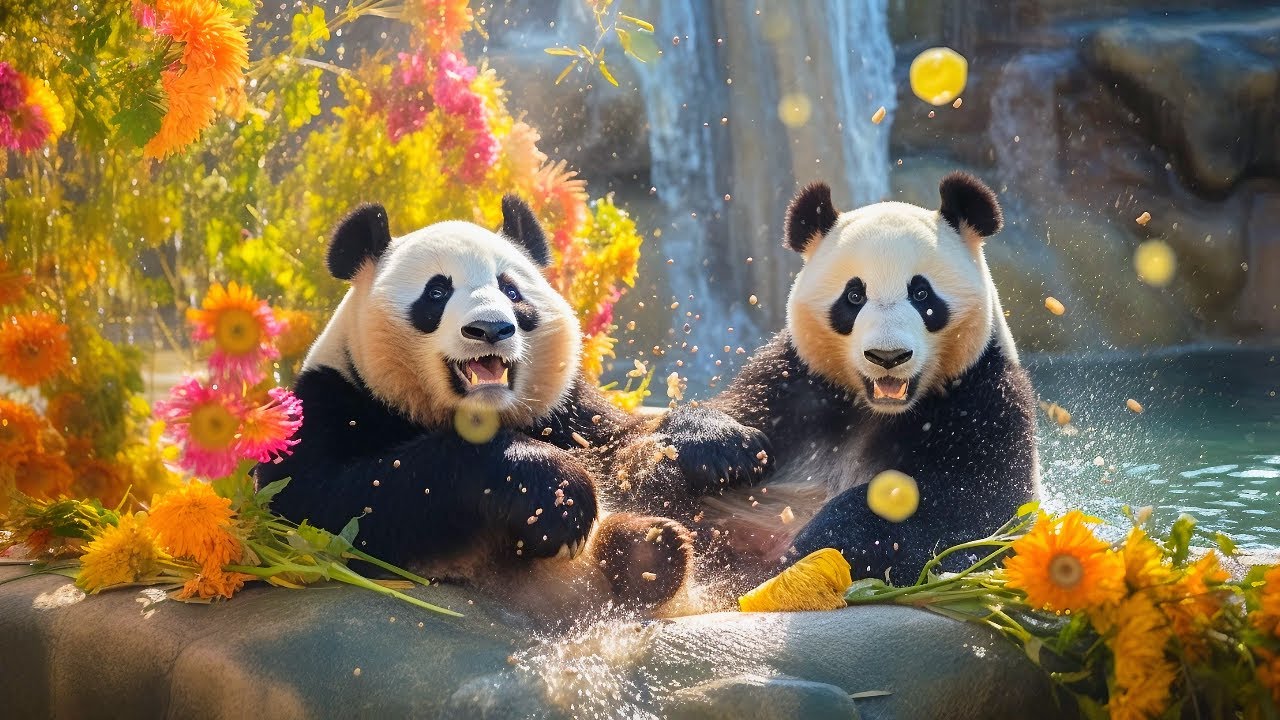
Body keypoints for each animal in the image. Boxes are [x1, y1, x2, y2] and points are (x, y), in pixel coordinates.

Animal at [256, 196, 692, 619]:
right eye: (436, 293)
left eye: (511, 291)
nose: (490, 329)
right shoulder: (330, 401)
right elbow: (326, 502)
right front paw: (557, 498)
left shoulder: (568, 409)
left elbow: (620, 442)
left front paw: (697, 440)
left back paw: (651, 550)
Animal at [619, 173, 1038, 592]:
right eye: (854, 296)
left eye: (921, 294)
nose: (887, 357)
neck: (878, 410)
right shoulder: (793, 383)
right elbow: (704, 427)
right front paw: (725, 448)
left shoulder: (985, 396)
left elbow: (972, 506)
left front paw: (818, 546)